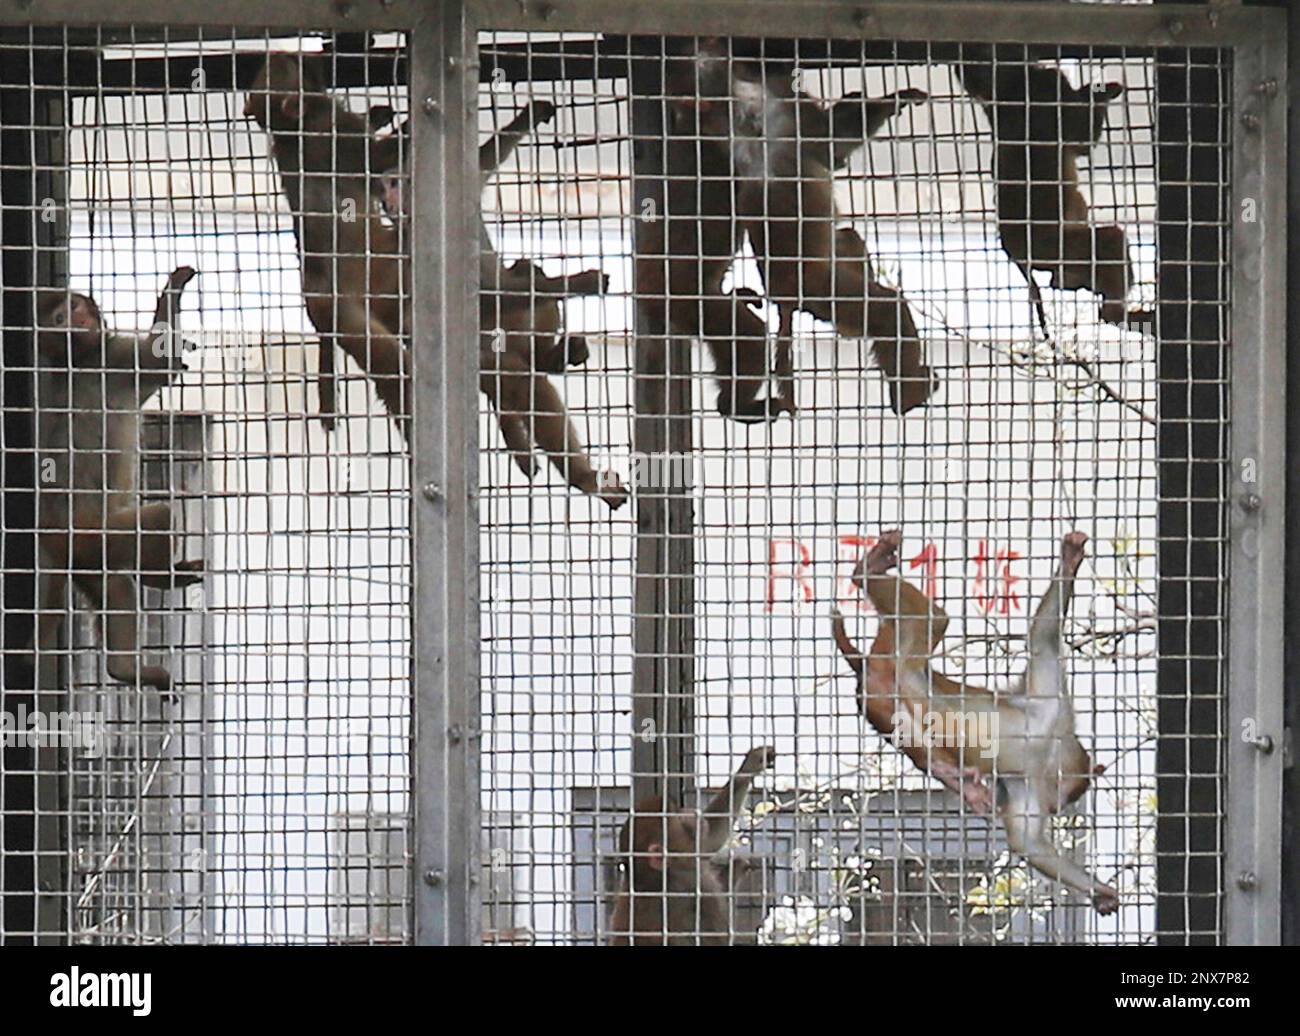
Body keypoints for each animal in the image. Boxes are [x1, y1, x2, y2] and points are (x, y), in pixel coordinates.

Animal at [33, 268, 204, 693]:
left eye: (72, 308)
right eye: (58, 319)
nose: (74, 321)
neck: (82, 360)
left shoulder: (109, 355)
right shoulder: (115, 357)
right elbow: (157, 361)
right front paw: (173, 289)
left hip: (88, 558)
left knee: (117, 588)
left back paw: (124, 669)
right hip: (96, 535)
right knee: (158, 518)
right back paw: (160, 577)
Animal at [608, 745, 776, 945]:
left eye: (677, 811)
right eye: (678, 819)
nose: (689, 812)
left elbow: (709, 839)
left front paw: (750, 765)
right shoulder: (690, 891)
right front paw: (734, 870)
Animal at [832, 530, 1118, 914]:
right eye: (1071, 794)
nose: (1057, 806)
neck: (1048, 751)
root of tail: (871, 664)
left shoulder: (1025, 782)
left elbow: (1027, 842)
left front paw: (1100, 891)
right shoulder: (1053, 705)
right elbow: (1042, 639)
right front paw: (1070, 561)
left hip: (883, 699)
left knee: (913, 728)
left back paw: (951, 775)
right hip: (902, 657)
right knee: (933, 621)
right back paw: (868, 570)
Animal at [957, 48, 1135, 334]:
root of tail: (1011, 249)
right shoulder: (1049, 85)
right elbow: (1083, 138)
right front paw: (1102, 90)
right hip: (1052, 247)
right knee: (1109, 240)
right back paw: (1114, 310)